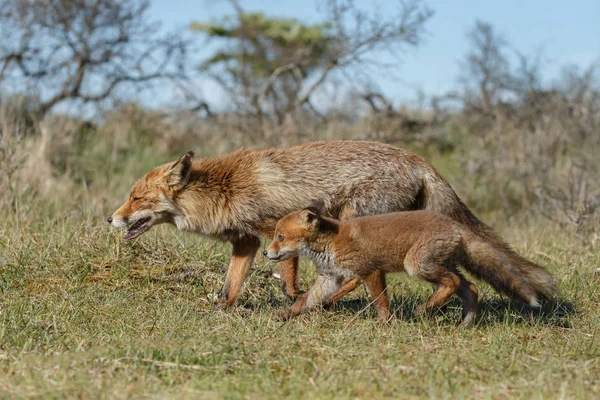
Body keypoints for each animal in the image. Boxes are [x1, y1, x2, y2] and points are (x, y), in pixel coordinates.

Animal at [106, 141, 552, 310]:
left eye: (137, 199)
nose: (110, 218)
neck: (225, 188)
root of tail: (418, 160)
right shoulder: (246, 241)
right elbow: (231, 285)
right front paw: (222, 312)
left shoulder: (279, 225)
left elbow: (286, 271)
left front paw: (293, 295)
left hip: (354, 221)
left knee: (357, 273)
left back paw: (329, 302)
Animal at [264, 203, 556, 324]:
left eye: (280, 237)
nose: (266, 253)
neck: (331, 242)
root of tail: (454, 224)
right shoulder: (330, 278)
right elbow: (305, 301)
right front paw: (285, 315)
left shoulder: (371, 271)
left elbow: (381, 302)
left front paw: (385, 325)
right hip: (439, 266)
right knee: (470, 288)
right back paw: (465, 322)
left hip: (416, 265)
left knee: (452, 283)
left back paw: (425, 308)